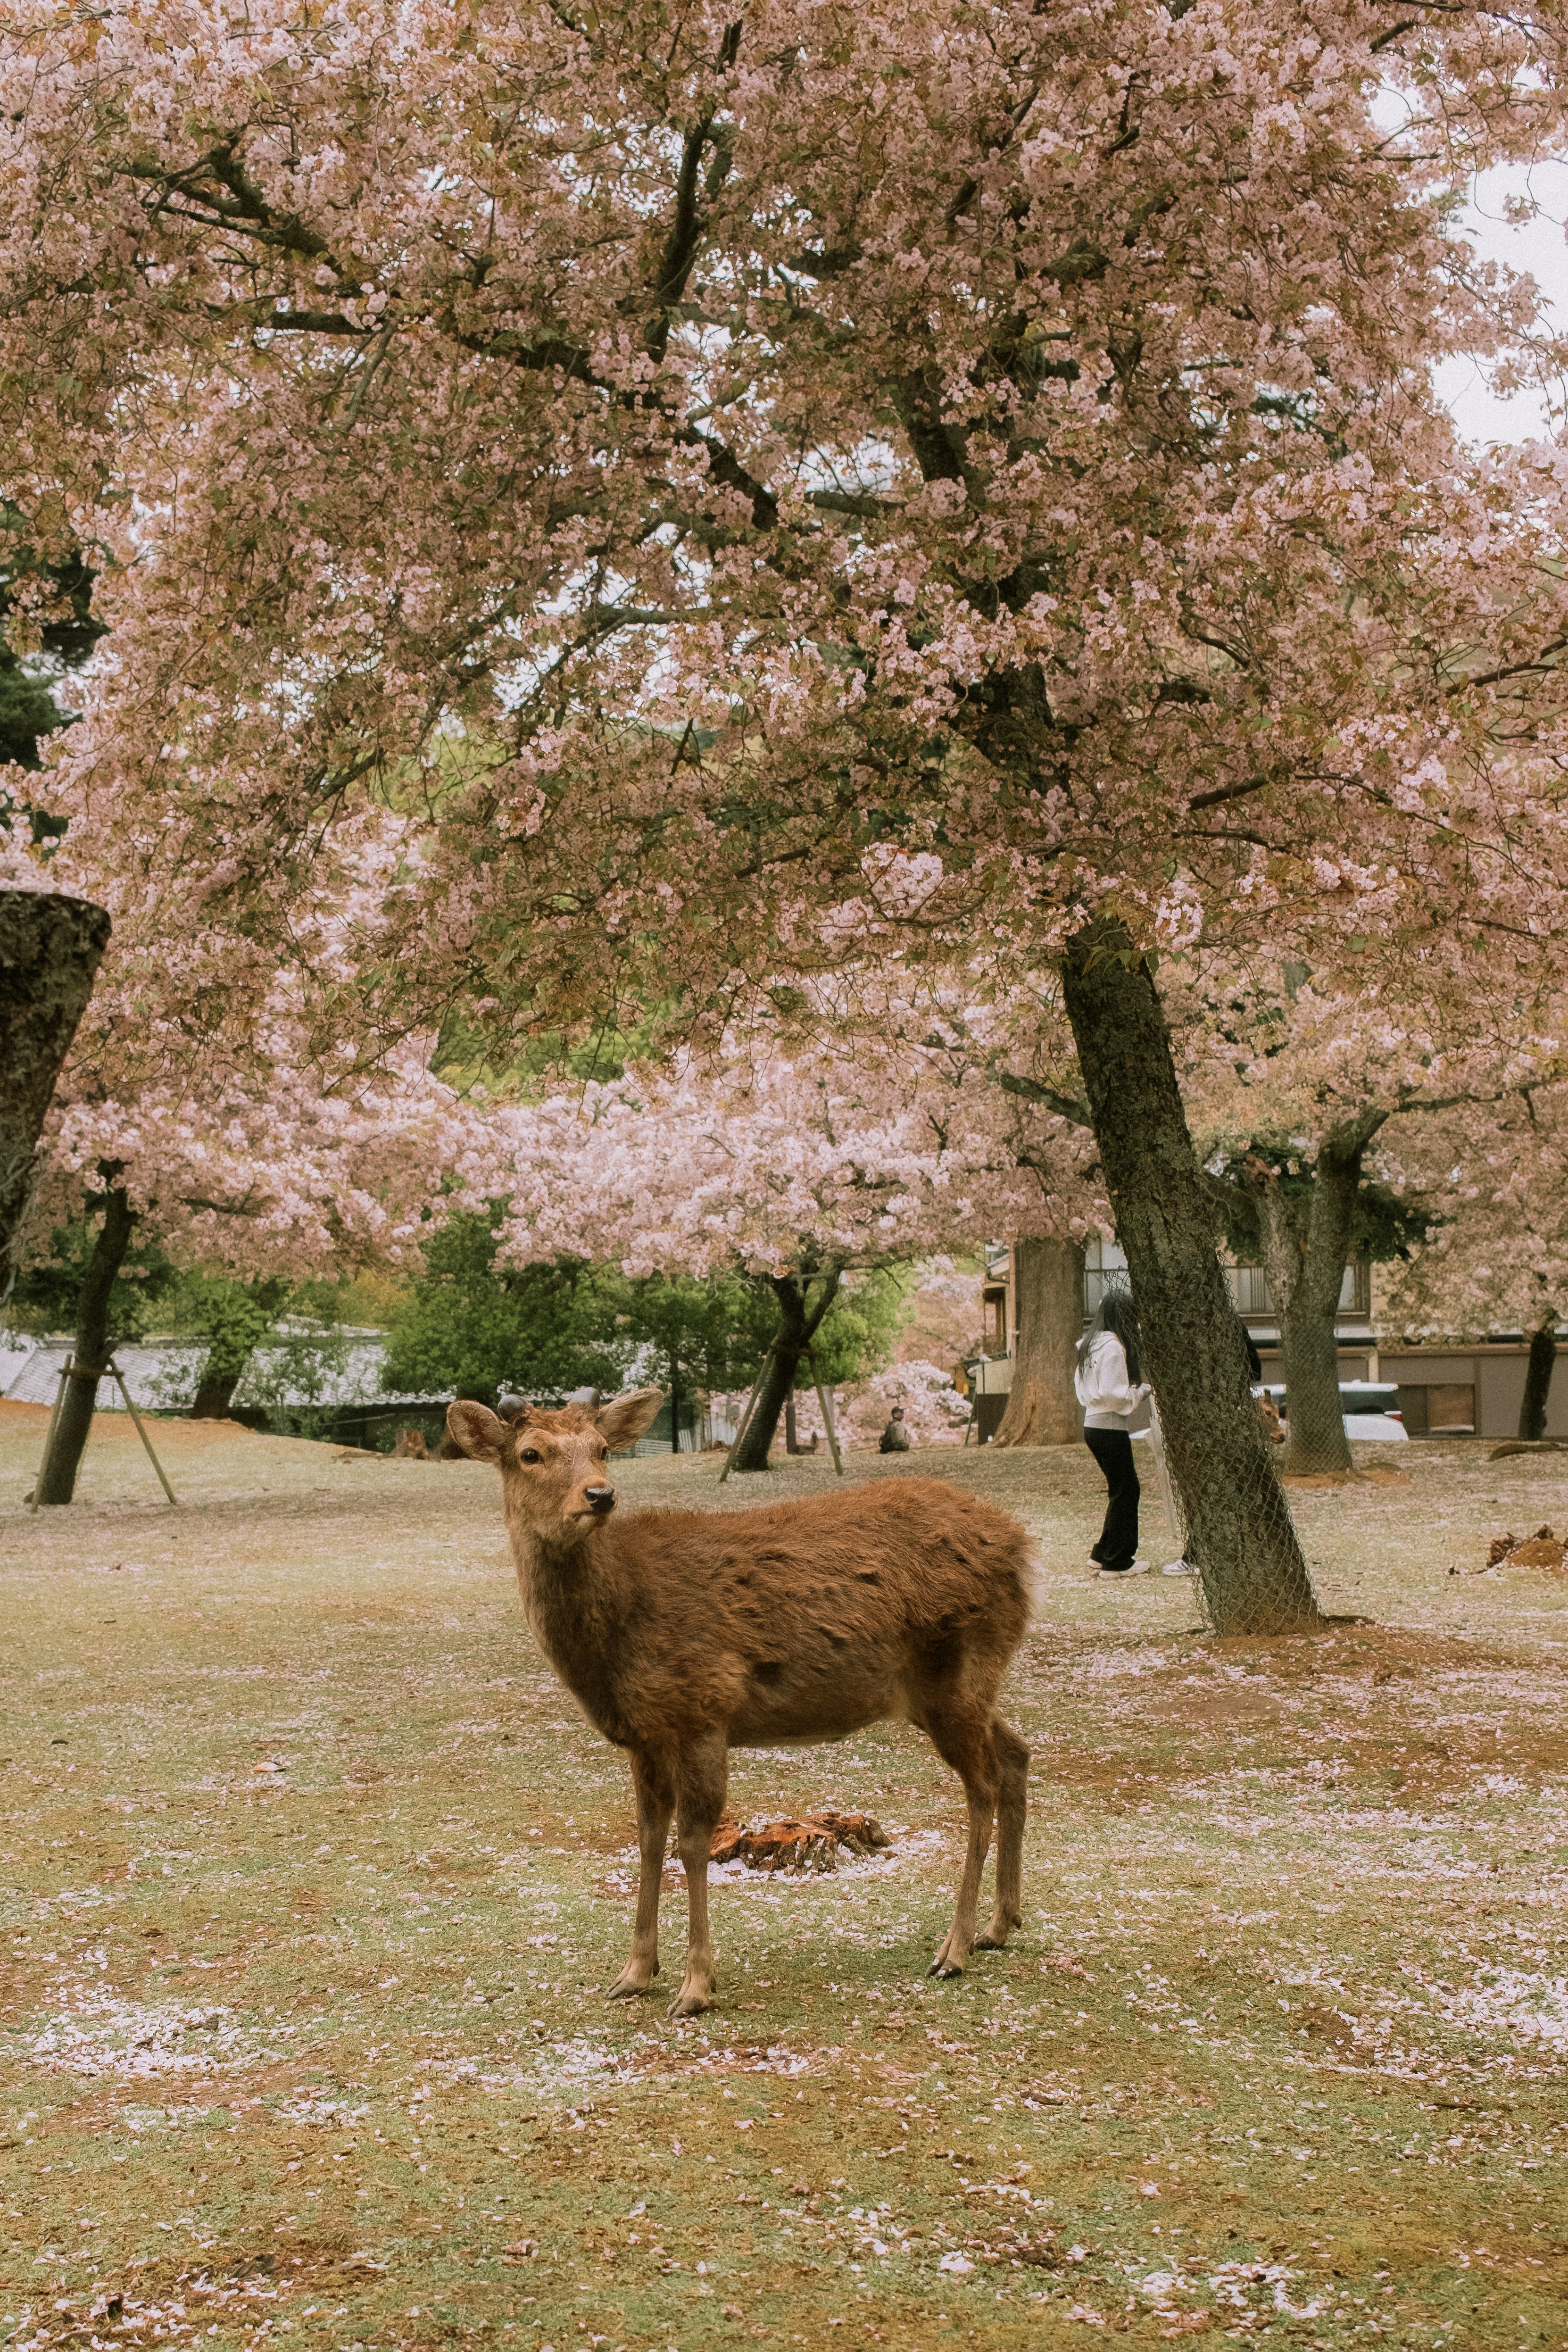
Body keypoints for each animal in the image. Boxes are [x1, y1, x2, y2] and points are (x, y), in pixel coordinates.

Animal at [446, 1385, 1041, 2017]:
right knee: (1016, 1754)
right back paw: (999, 1925)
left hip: (958, 1670)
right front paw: (634, 1972)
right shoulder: (644, 1736)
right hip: (955, 1690)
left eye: (603, 1448)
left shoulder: (705, 1708)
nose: (600, 1494)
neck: (614, 1643)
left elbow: (691, 1843)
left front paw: (695, 1986)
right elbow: (647, 1839)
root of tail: (1024, 1549)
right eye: (530, 1453)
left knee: (982, 1787)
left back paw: (953, 1949)